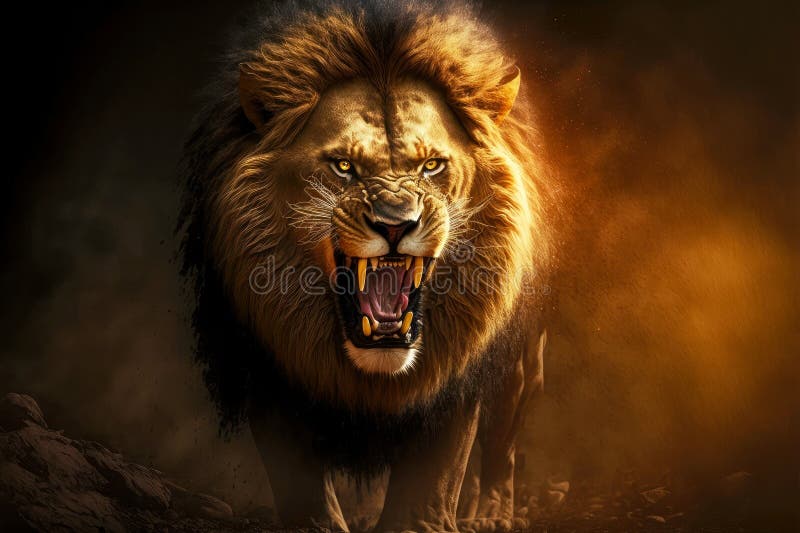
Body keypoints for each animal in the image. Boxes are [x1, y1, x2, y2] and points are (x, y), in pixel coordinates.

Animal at [179, 1, 553, 531]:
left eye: (431, 166)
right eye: (343, 167)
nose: (396, 223)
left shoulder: (456, 372)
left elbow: (434, 475)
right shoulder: (263, 358)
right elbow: (299, 482)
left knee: (504, 438)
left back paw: (493, 512)